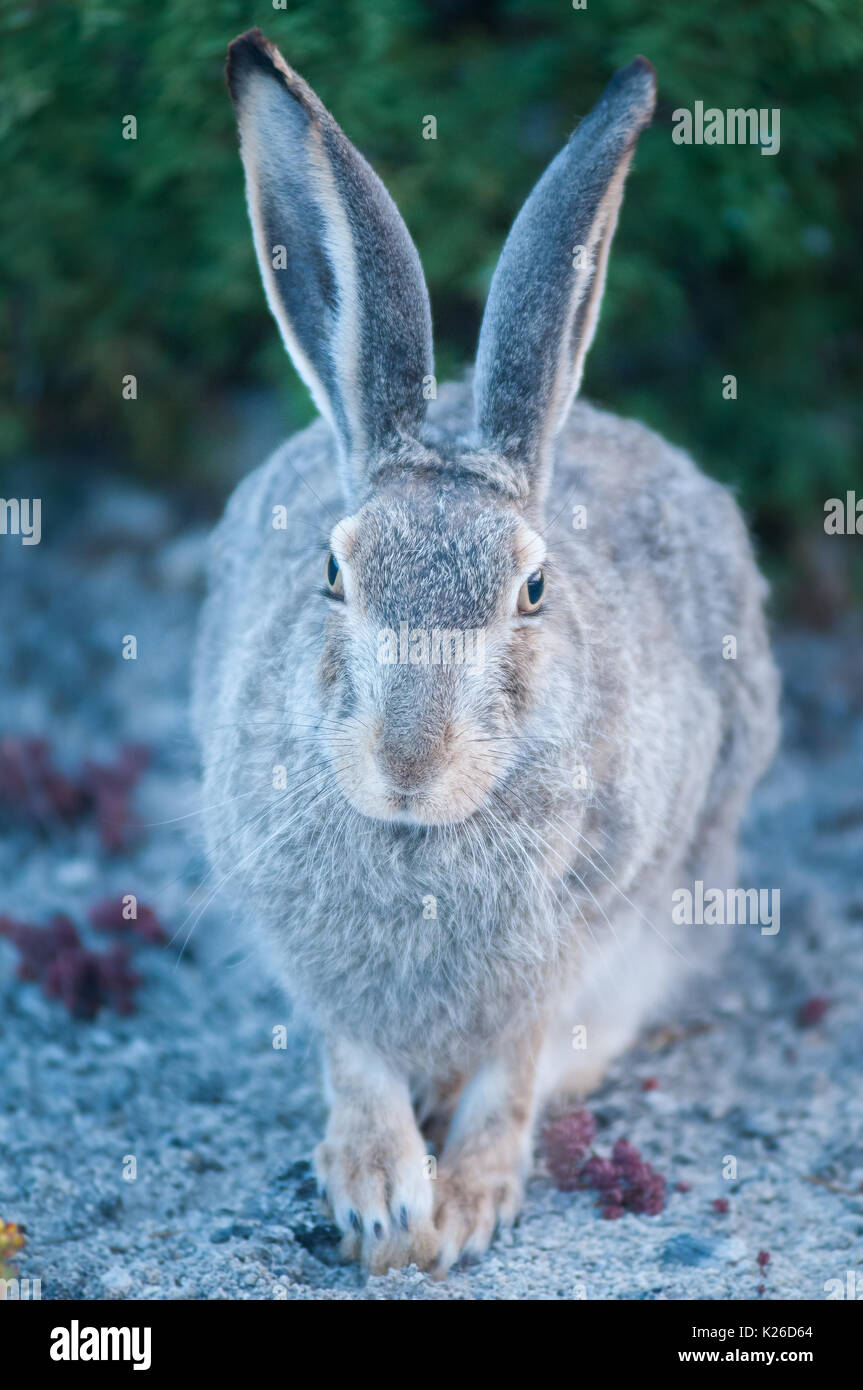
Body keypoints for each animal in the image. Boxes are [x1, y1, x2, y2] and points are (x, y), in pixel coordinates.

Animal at [193, 28, 780, 1278]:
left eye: (533, 589)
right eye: (333, 571)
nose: (406, 763)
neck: (425, 835)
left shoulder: (580, 935)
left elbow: (511, 1068)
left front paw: (462, 1202)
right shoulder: (312, 956)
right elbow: (353, 1056)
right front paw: (377, 1194)